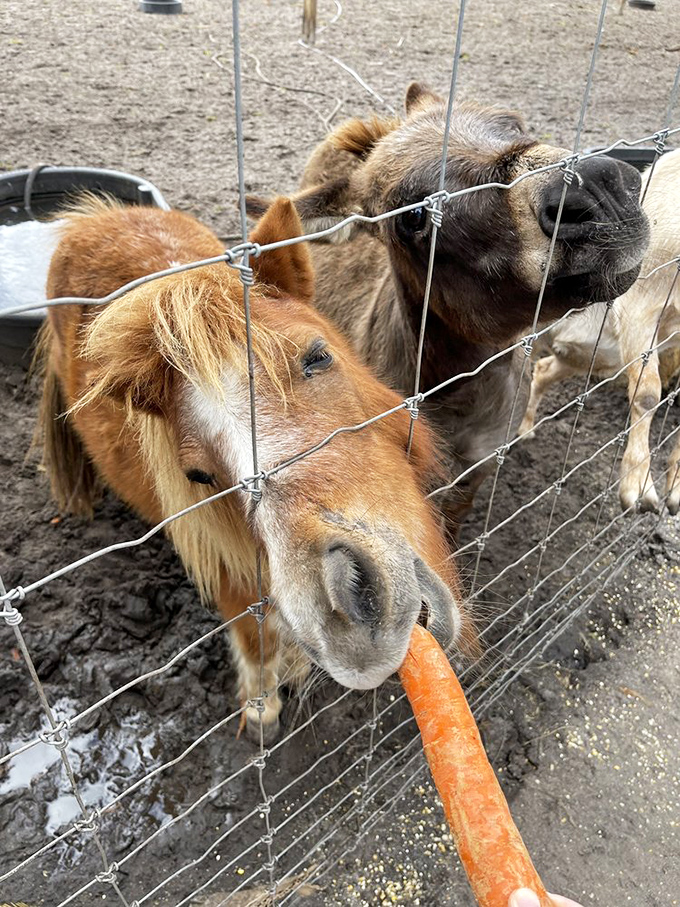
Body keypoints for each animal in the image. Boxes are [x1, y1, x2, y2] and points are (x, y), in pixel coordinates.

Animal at [37, 195, 470, 741]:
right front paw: (262, 708)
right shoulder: (228, 568)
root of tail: (92, 217)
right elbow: (254, 638)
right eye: (198, 475)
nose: (348, 611)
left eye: (317, 357)